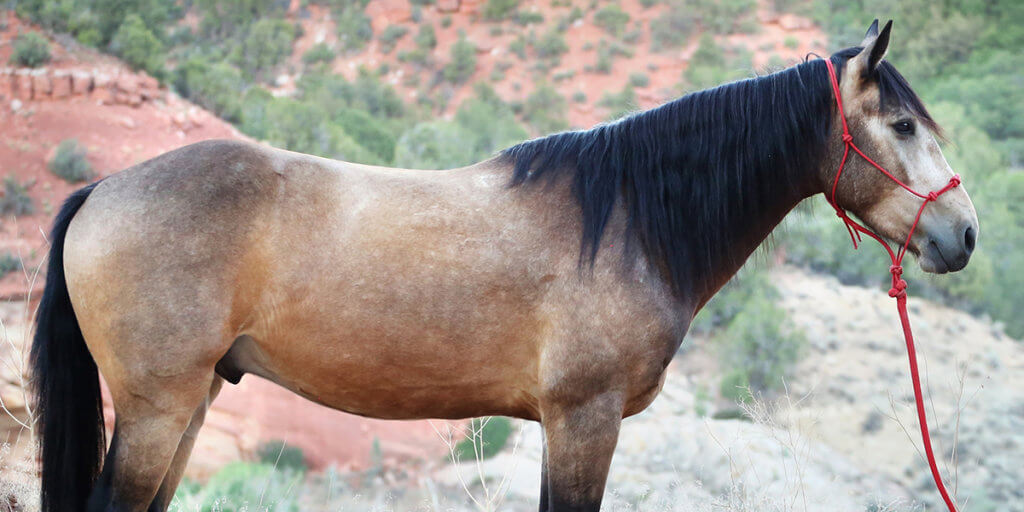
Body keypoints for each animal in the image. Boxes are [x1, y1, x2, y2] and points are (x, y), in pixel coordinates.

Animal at [31, 20, 978, 512]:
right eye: (902, 126)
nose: (964, 235)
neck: (630, 217)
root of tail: (104, 188)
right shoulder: (584, 421)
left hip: (189, 406)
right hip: (157, 410)